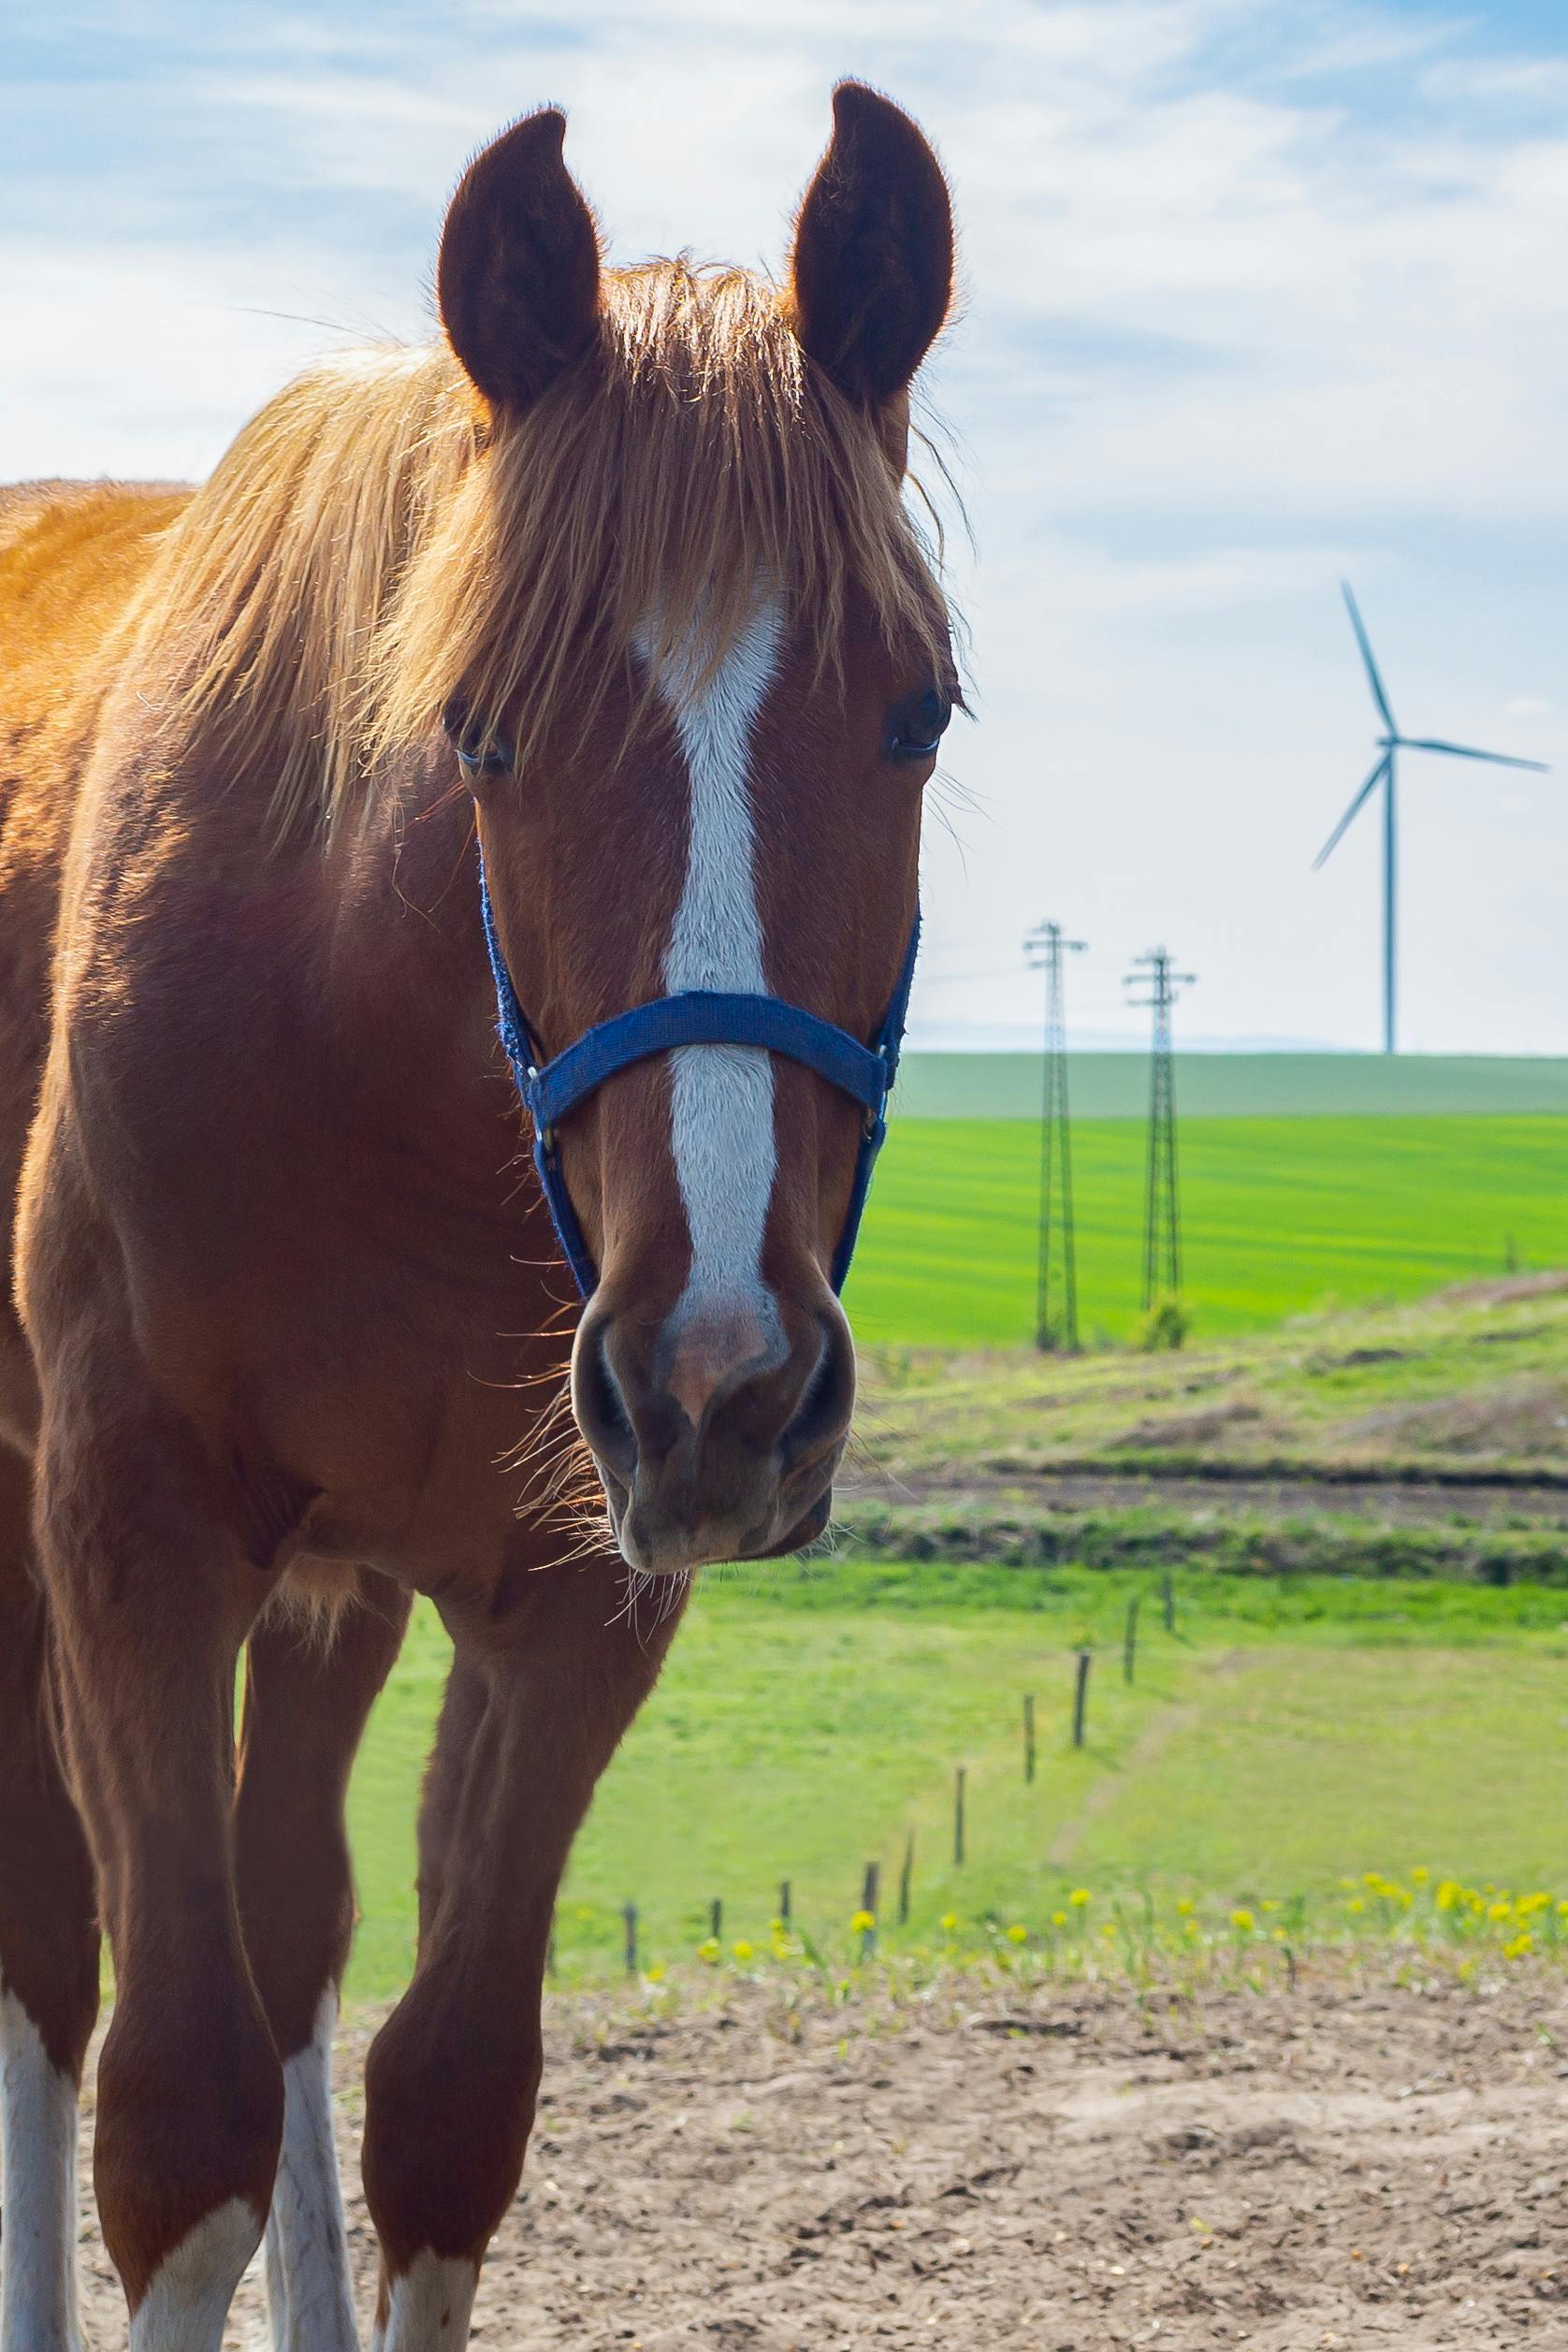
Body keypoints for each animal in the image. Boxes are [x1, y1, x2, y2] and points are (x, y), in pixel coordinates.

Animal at [0, 83, 957, 2351]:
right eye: (484, 732)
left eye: (917, 711)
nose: (720, 1381)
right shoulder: (127, 1529)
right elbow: (171, 2115)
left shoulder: (569, 1590)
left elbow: (439, 2099)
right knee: (55, 1955)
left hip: (340, 1582)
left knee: (288, 1934)